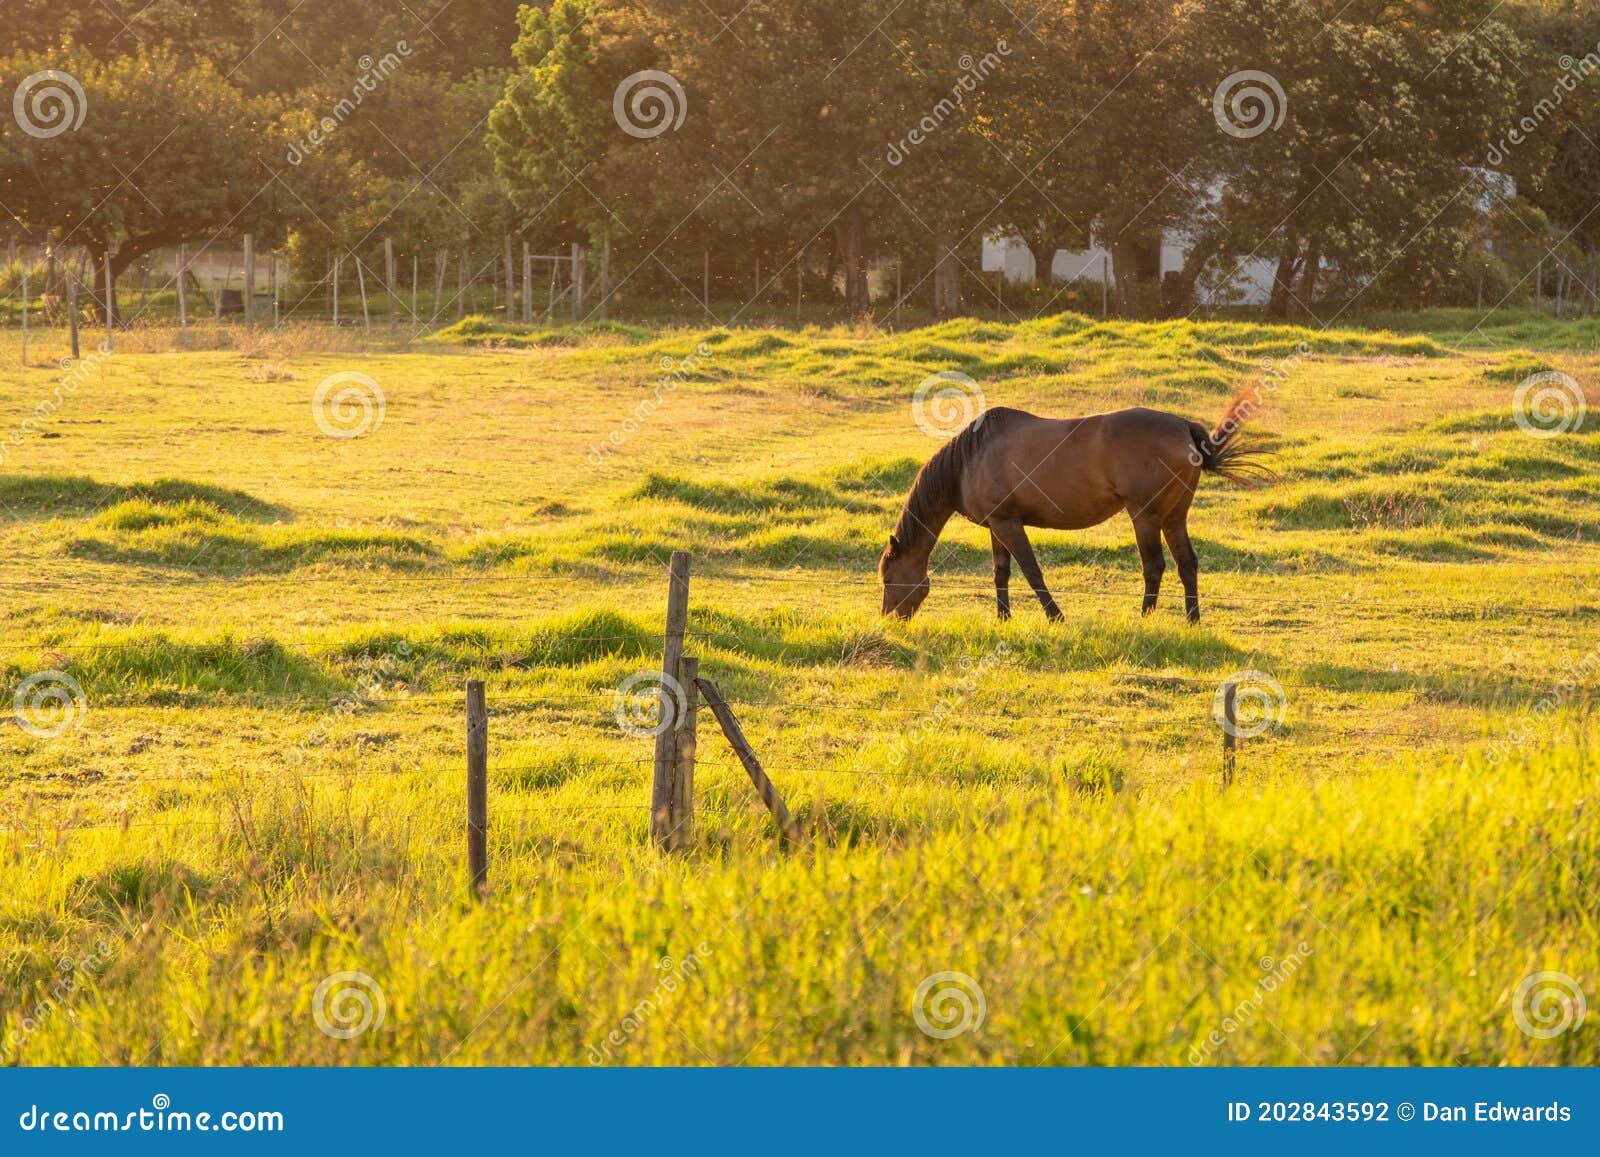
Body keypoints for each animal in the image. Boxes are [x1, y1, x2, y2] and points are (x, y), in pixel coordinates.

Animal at [878, 396, 1270, 623]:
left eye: (889, 578)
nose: (889, 619)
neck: (969, 459)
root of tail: (1183, 428)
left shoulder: (1008, 524)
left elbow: (1031, 572)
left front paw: (1055, 616)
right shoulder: (998, 525)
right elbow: (1000, 573)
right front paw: (1003, 619)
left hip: (1144, 516)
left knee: (1154, 566)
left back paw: (1144, 618)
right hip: (1174, 517)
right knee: (1186, 563)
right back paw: (1192, 620)